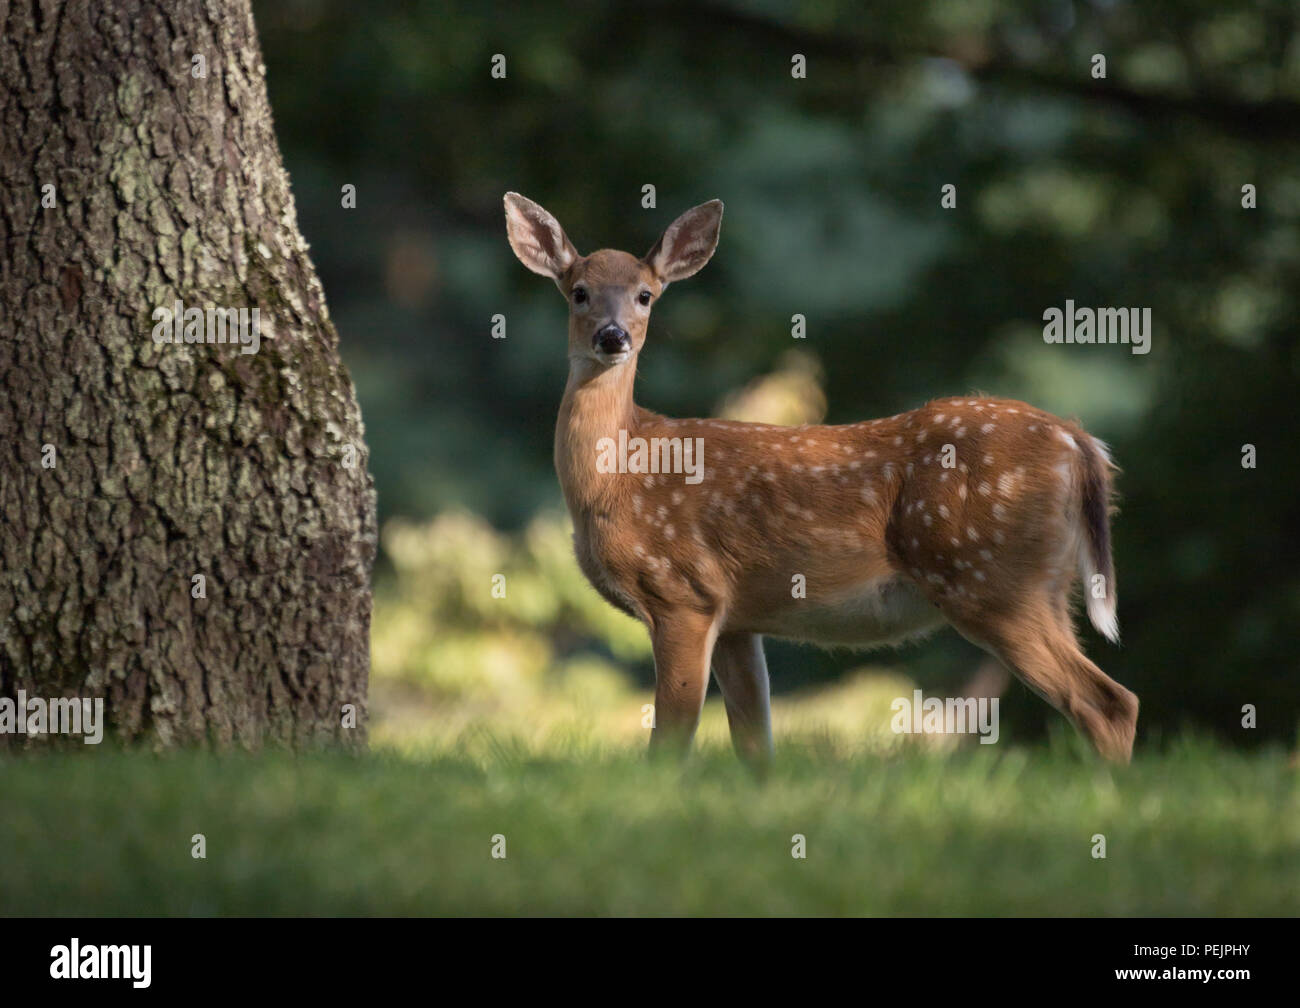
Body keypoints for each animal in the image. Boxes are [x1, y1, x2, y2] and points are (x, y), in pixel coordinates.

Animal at [503, 192, 1139, 771]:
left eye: (645, 295)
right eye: (578, 291)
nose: (612, 337)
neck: (622, 477)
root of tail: (1076, 441)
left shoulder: (682, 591)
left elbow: (670, 742)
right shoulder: (736, 619)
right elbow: (755, 747)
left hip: (991, 576)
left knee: (1107, 702)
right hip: (1042, 584)